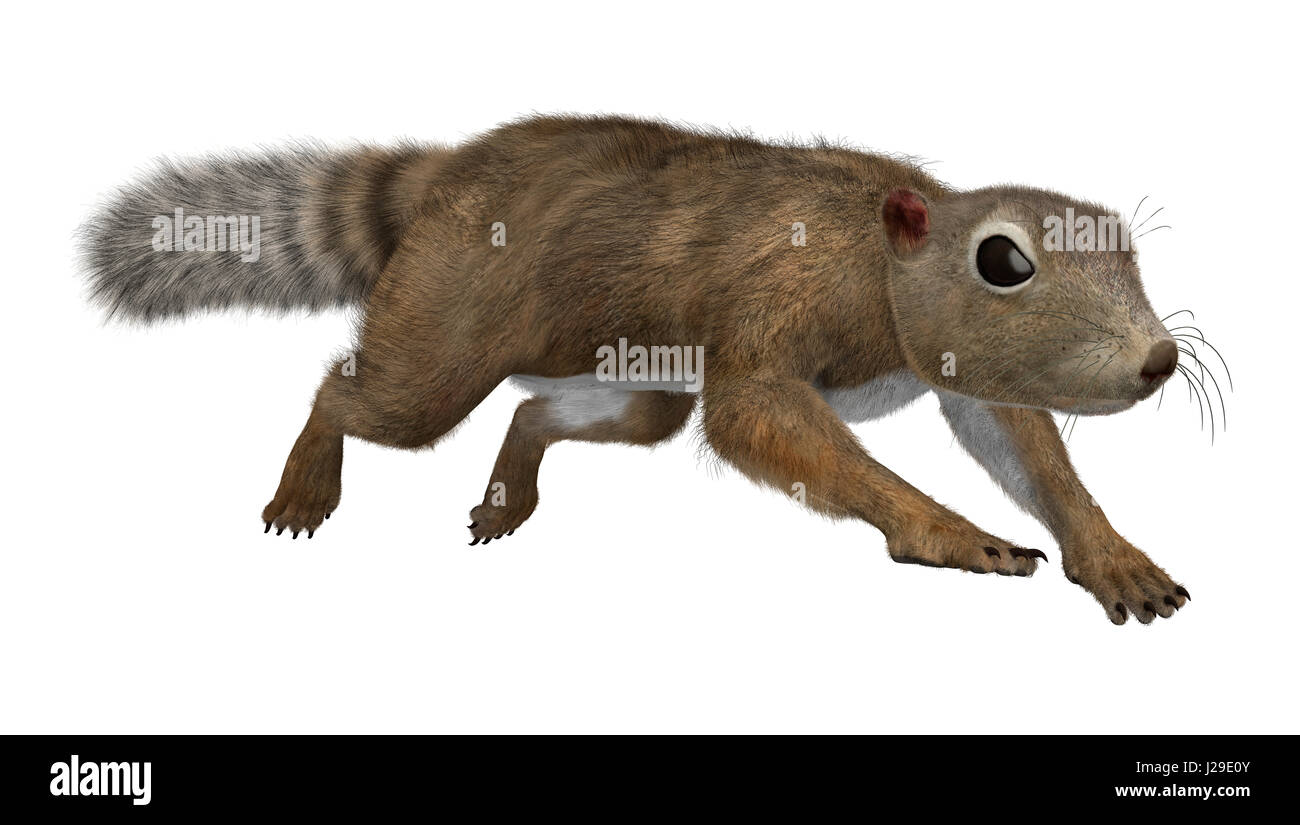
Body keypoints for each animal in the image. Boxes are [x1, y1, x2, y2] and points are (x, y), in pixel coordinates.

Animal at [82, 114, 1196, 625]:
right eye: (1002, 261)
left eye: (1128, 248)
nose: (1159, 359)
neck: (880, 254)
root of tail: (448, 172)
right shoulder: (774, 309)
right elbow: (758, 420)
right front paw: (953, 534)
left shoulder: (966, 376)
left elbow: (1019, 440)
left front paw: (1111, 555)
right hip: (444, 325)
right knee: (365, 398)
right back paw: (307, 481)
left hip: (634, 366)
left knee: (556, 415)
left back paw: (510, 483)